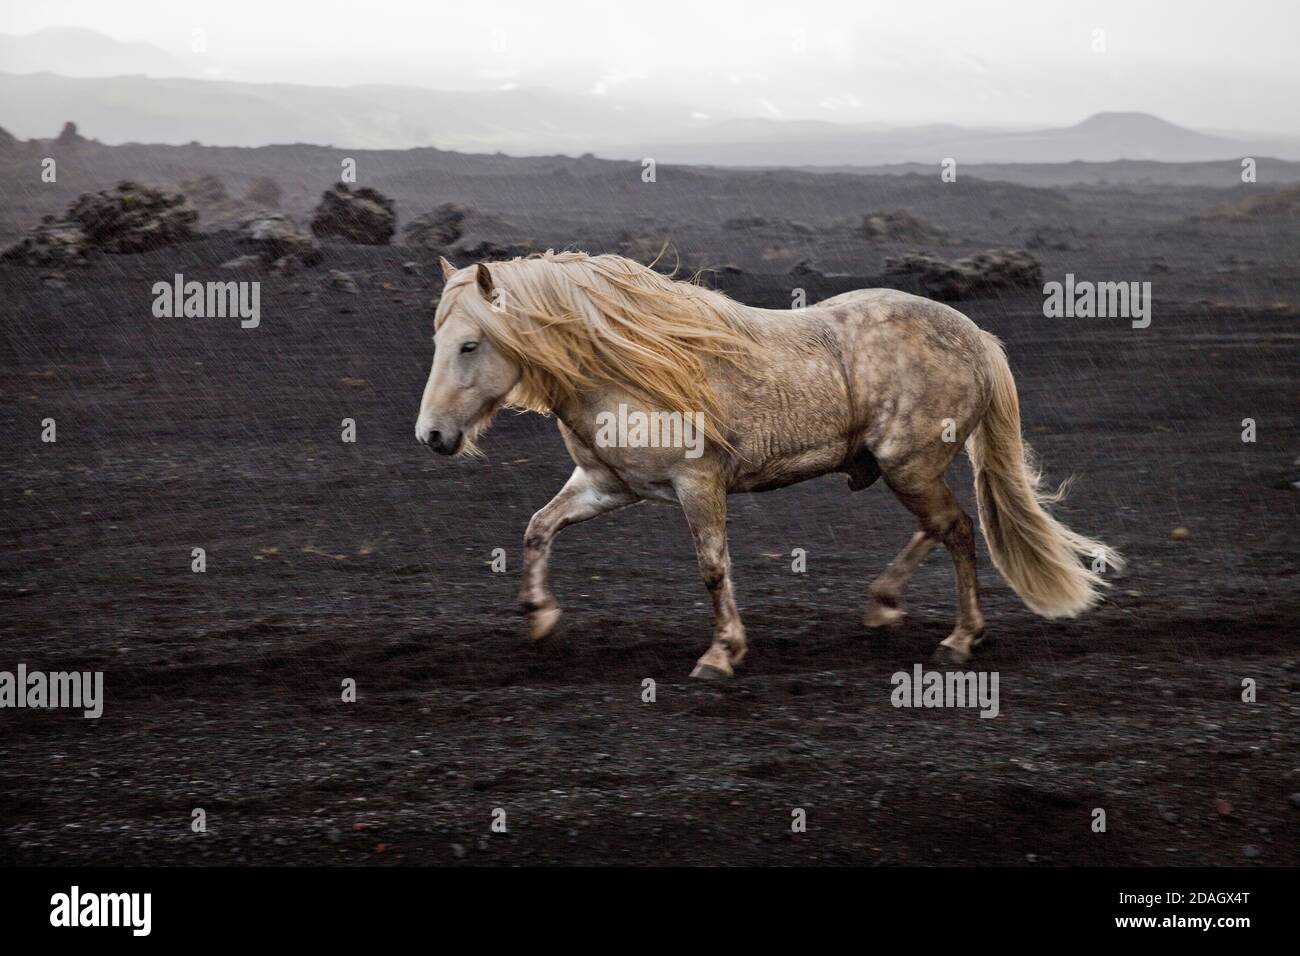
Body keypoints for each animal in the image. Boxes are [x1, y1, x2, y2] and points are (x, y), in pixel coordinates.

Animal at [415, 251, 1123, 678]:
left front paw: (721, 654)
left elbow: (712, 568)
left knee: (956, 530)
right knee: (938, 527)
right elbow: (538, 527)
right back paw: (885, 603)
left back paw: (959, 638)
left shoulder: (698, 484)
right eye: (437, 339)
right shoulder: (607, 487)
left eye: (470, 344)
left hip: (910, 465)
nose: (432, 435)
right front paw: (538, 615)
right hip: (899, 467)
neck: (626, 368)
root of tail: (975, 337)